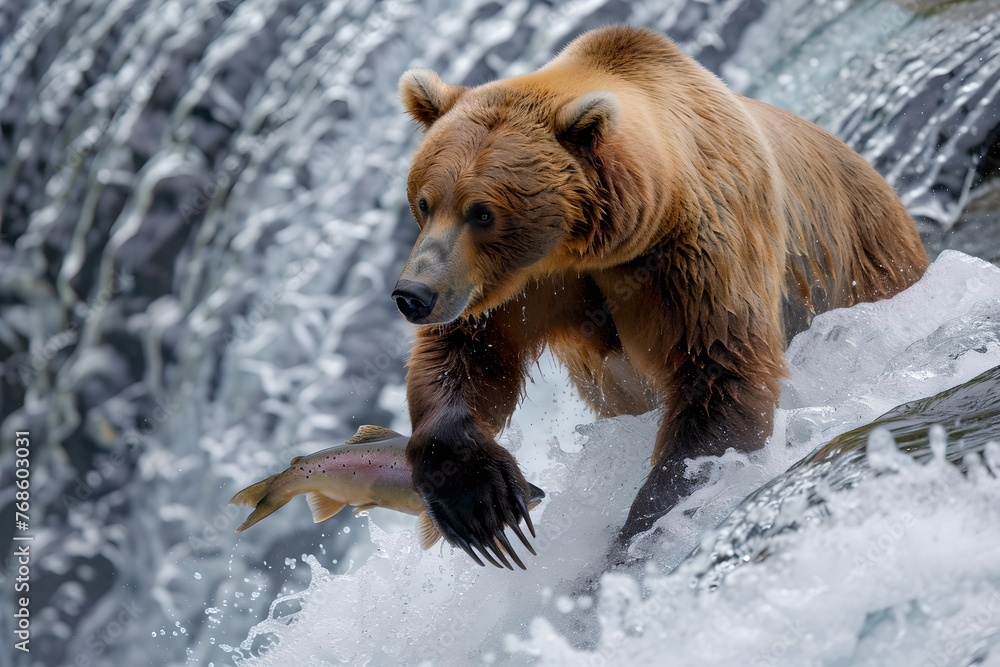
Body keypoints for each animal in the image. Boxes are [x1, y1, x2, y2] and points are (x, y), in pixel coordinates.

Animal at [390, 25, 929, 568]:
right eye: (425, 201)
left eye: (482, 212)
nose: (413, 294)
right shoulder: (525, 286)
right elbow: (472, 354)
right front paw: (480, 502)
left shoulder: (690, 256)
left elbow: (719, 374)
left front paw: (637, 532)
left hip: (868, 262)